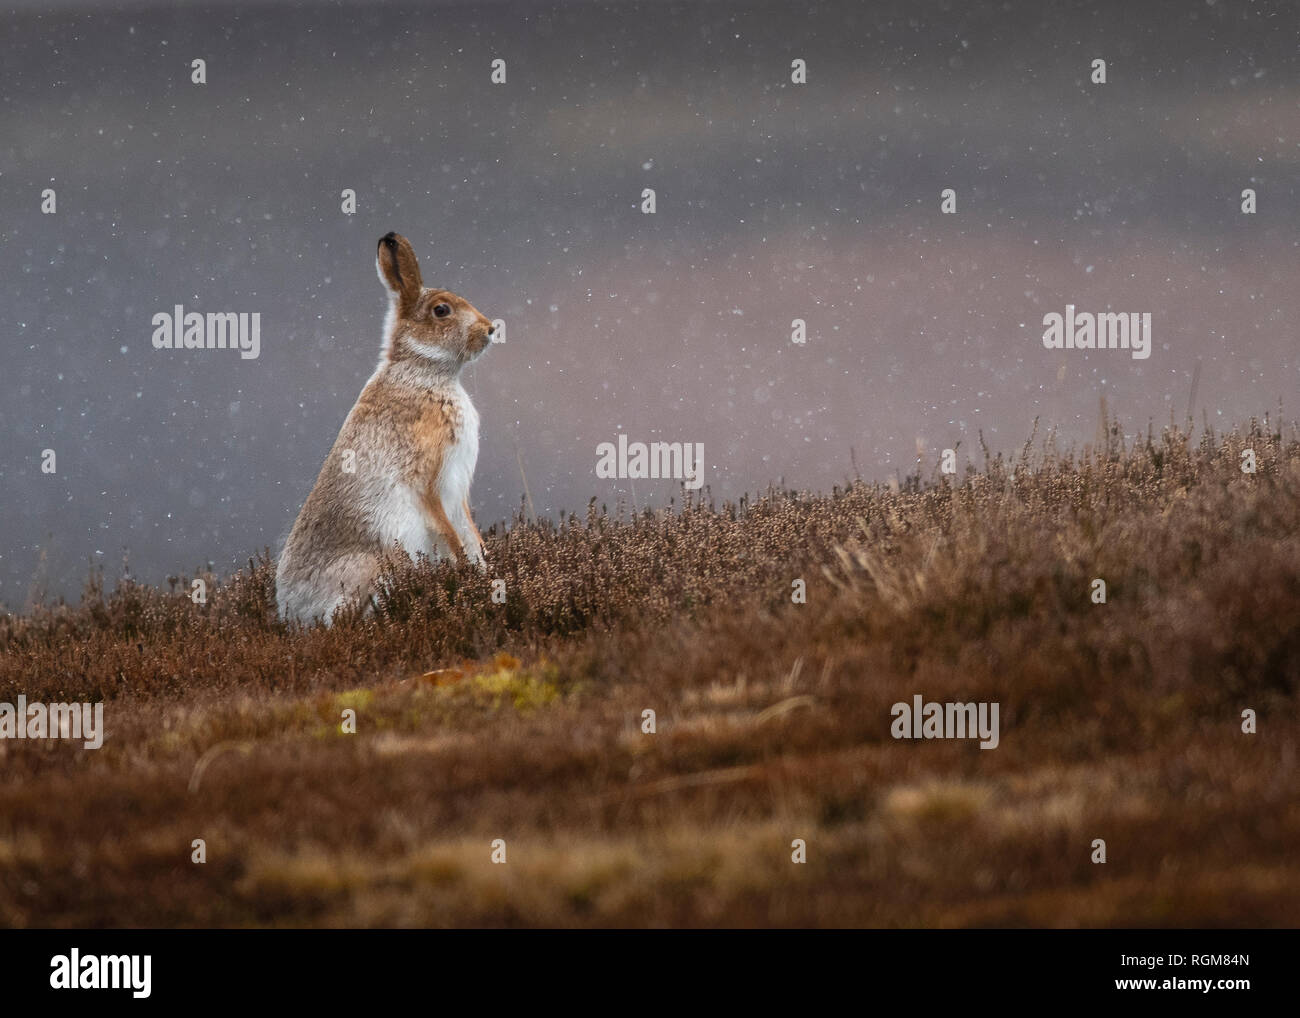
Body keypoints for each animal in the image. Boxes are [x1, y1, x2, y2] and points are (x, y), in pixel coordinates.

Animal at [276, 232, 495, 623]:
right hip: (372, 566)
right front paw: (462, 565)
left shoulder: (458, 492)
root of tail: (292, 613)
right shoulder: (427, 479)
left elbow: (468, 529)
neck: (423, 371)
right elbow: (444, 525)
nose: (490, 329)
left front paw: (479, 563)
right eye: (441, 310)